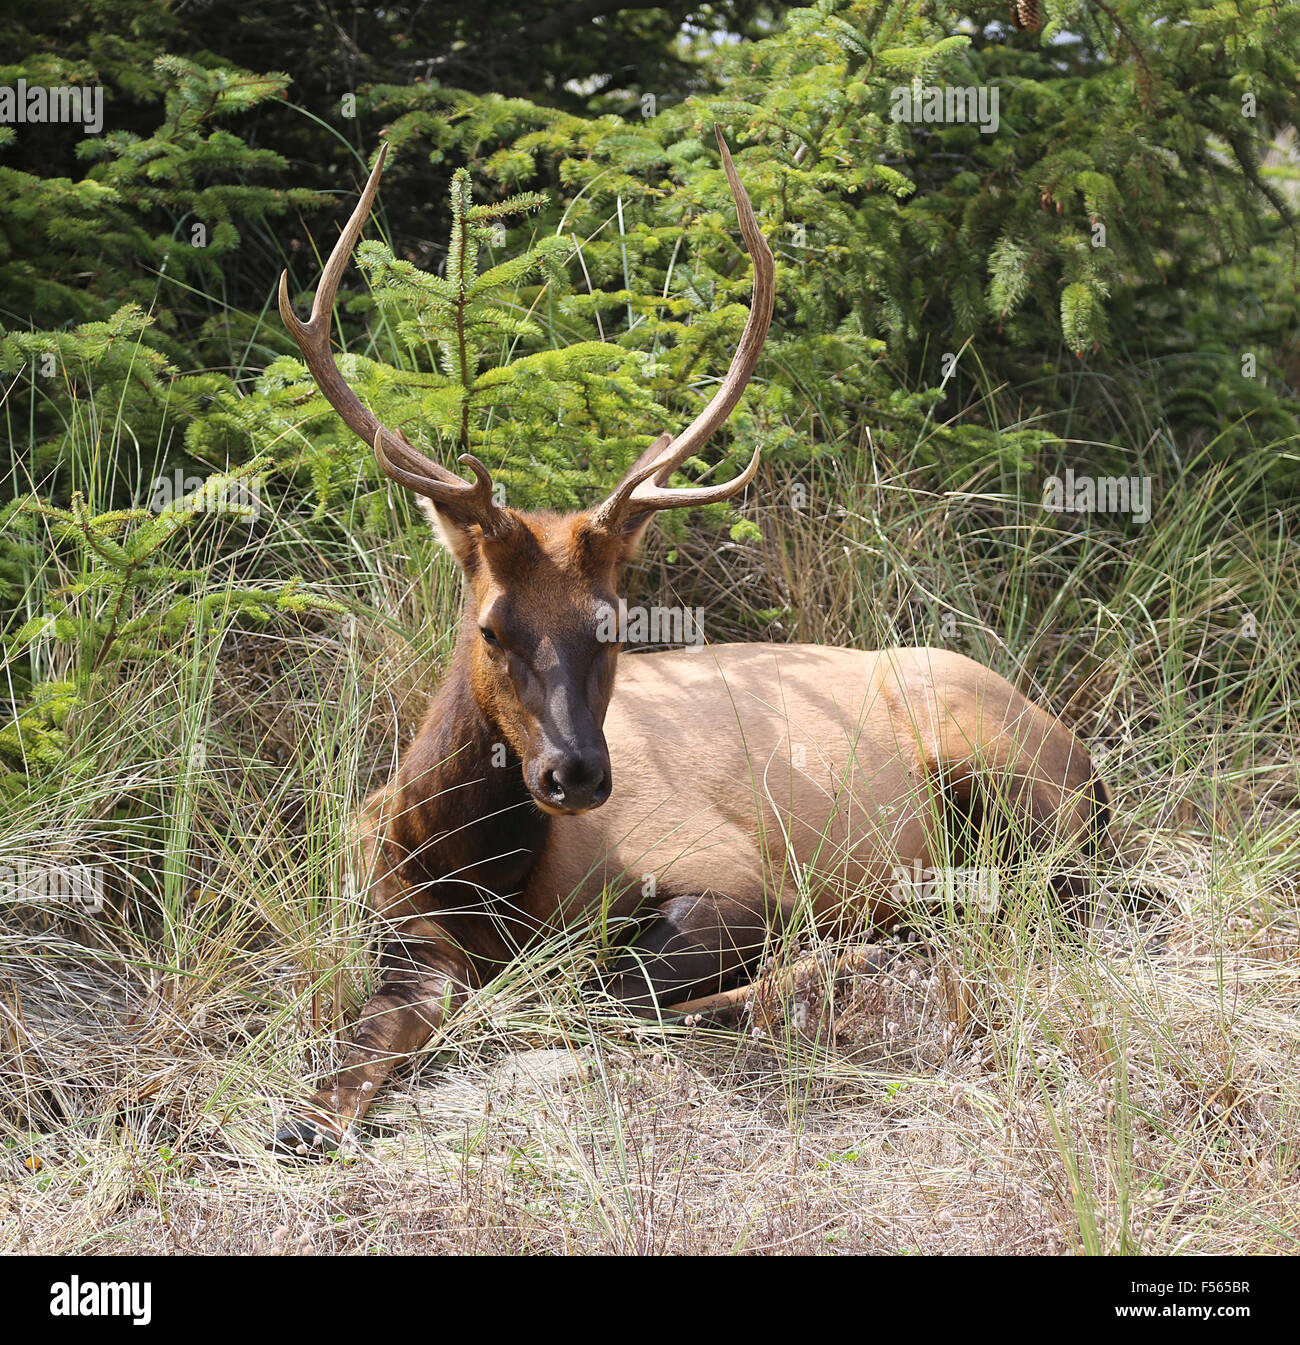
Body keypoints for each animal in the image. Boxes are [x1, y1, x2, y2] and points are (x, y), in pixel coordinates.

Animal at [272, 131, 1110, 1155]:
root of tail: (1079, 749)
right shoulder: (397, 922)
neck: (482, 873)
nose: (574, 774)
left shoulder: (732, 871)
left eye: (615, 620)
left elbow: (604, 992)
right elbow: (362, 1050)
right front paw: (301, 1116)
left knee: (1048, 897)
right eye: (491, 624)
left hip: (1011, 776)